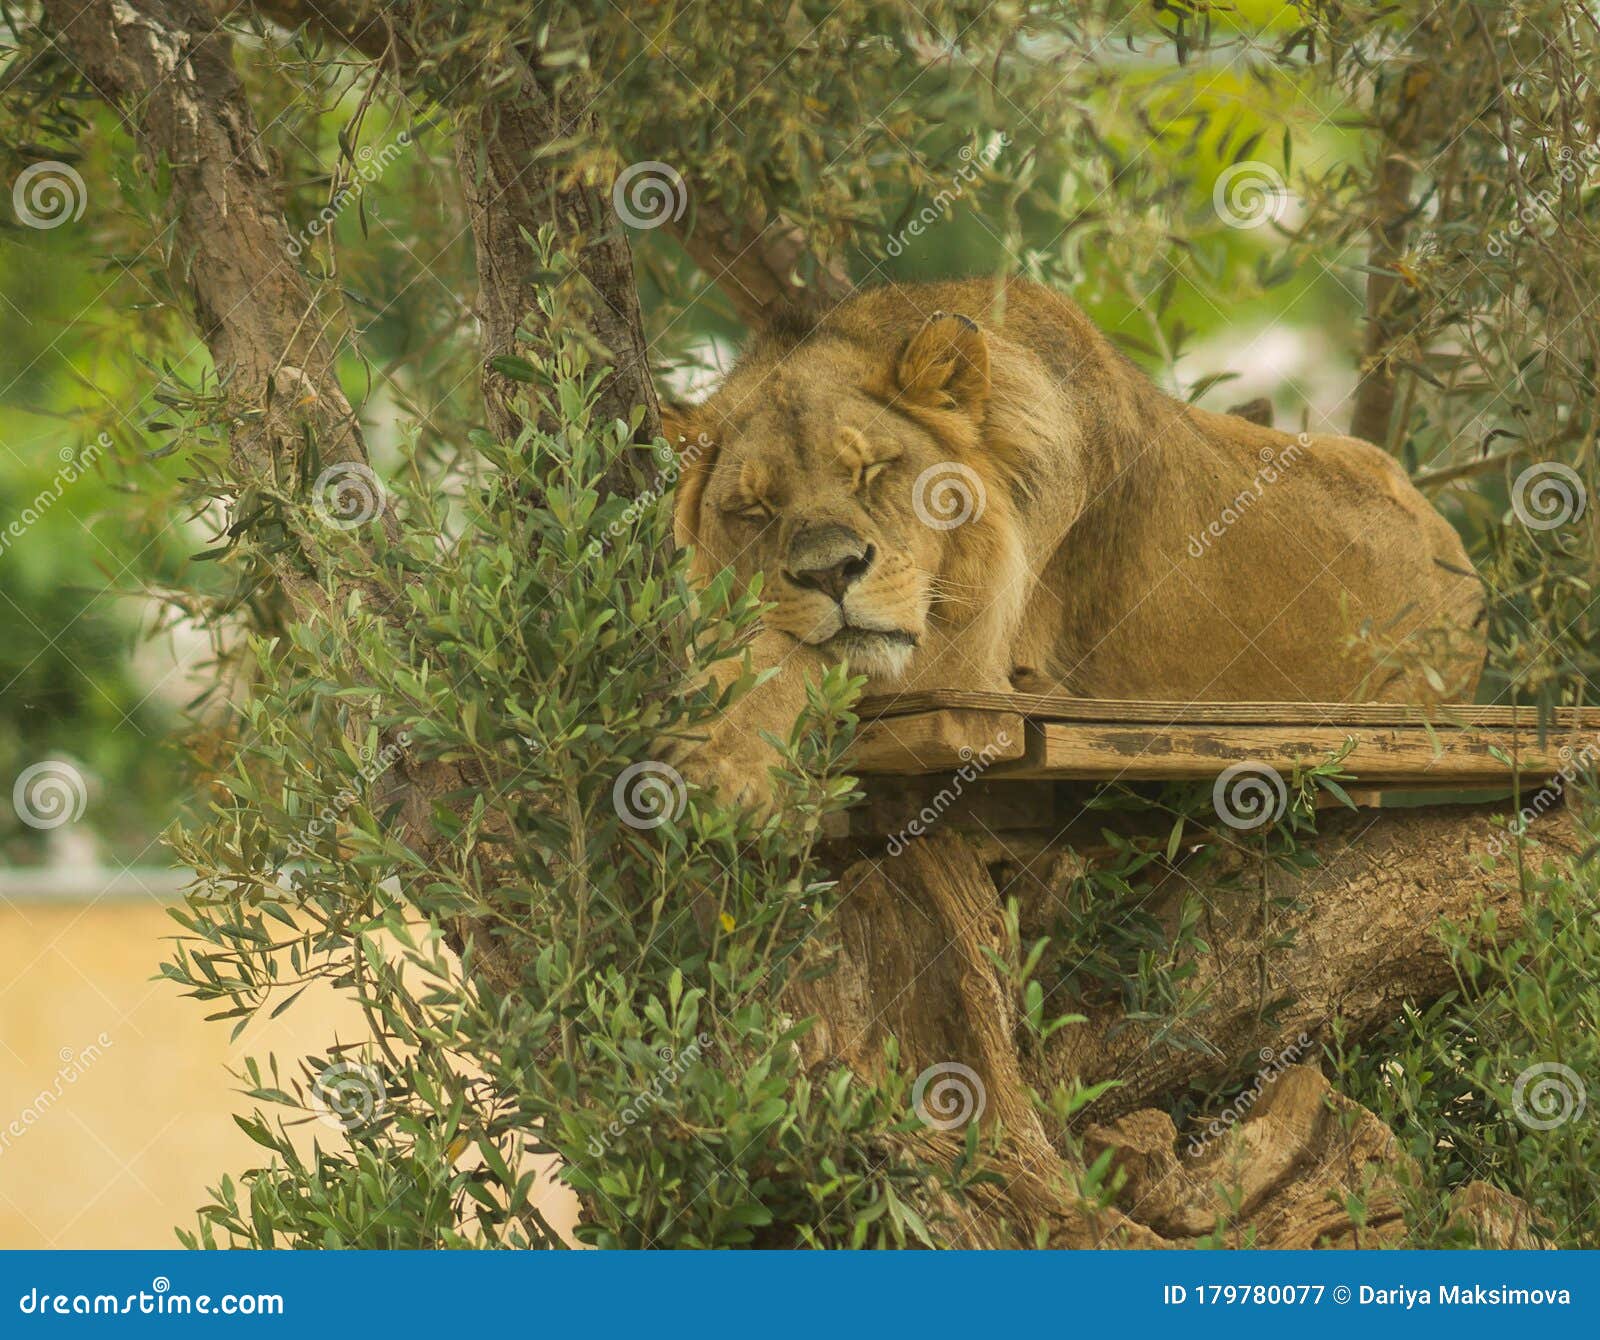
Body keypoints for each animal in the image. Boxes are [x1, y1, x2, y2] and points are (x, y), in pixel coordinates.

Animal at [663, 277, 1486, 809]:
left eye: (871, 469)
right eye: (754, 508)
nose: (831, 572)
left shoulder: (970, 666)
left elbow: (802, 654)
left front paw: (718, 757)